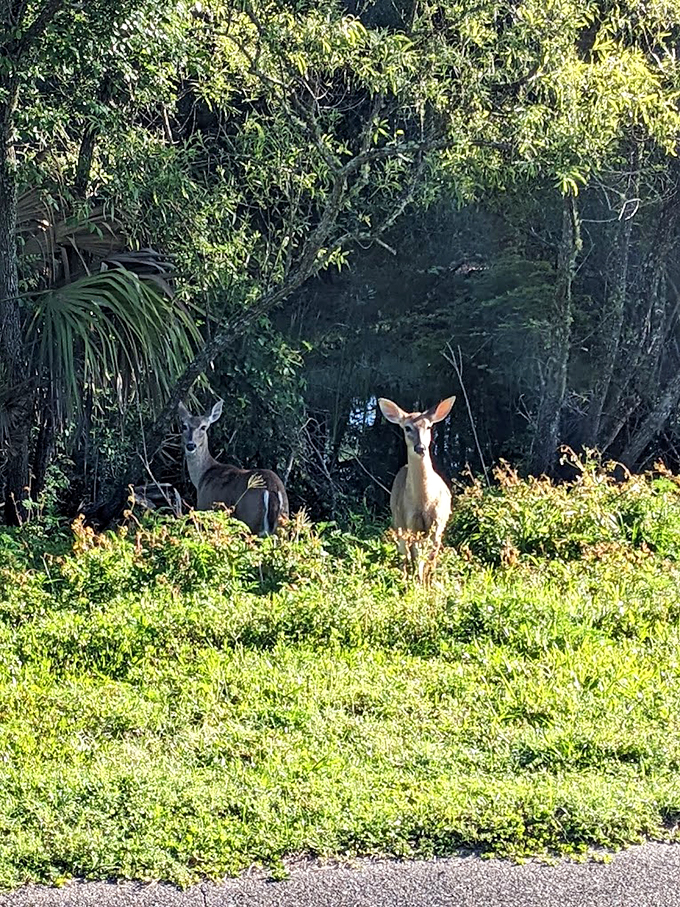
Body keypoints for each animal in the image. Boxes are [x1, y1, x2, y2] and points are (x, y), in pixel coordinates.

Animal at [178, 400, 289, 536]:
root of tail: (272, 489)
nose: (191, 445)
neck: (203, 476)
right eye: (184, 426)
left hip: (250, 517)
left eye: (203, 427)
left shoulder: (204, 505)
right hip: (283, 519)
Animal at [378, 395, 456, 582]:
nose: (420, 447)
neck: (424, 502)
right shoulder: (410, 521)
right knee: (404, 553)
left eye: (428, 426)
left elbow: (430, 558)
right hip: (398, 520)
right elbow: (416, 556)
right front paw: (418, 583)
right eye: (407, 428)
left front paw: (429, 582)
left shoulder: (438, 523)